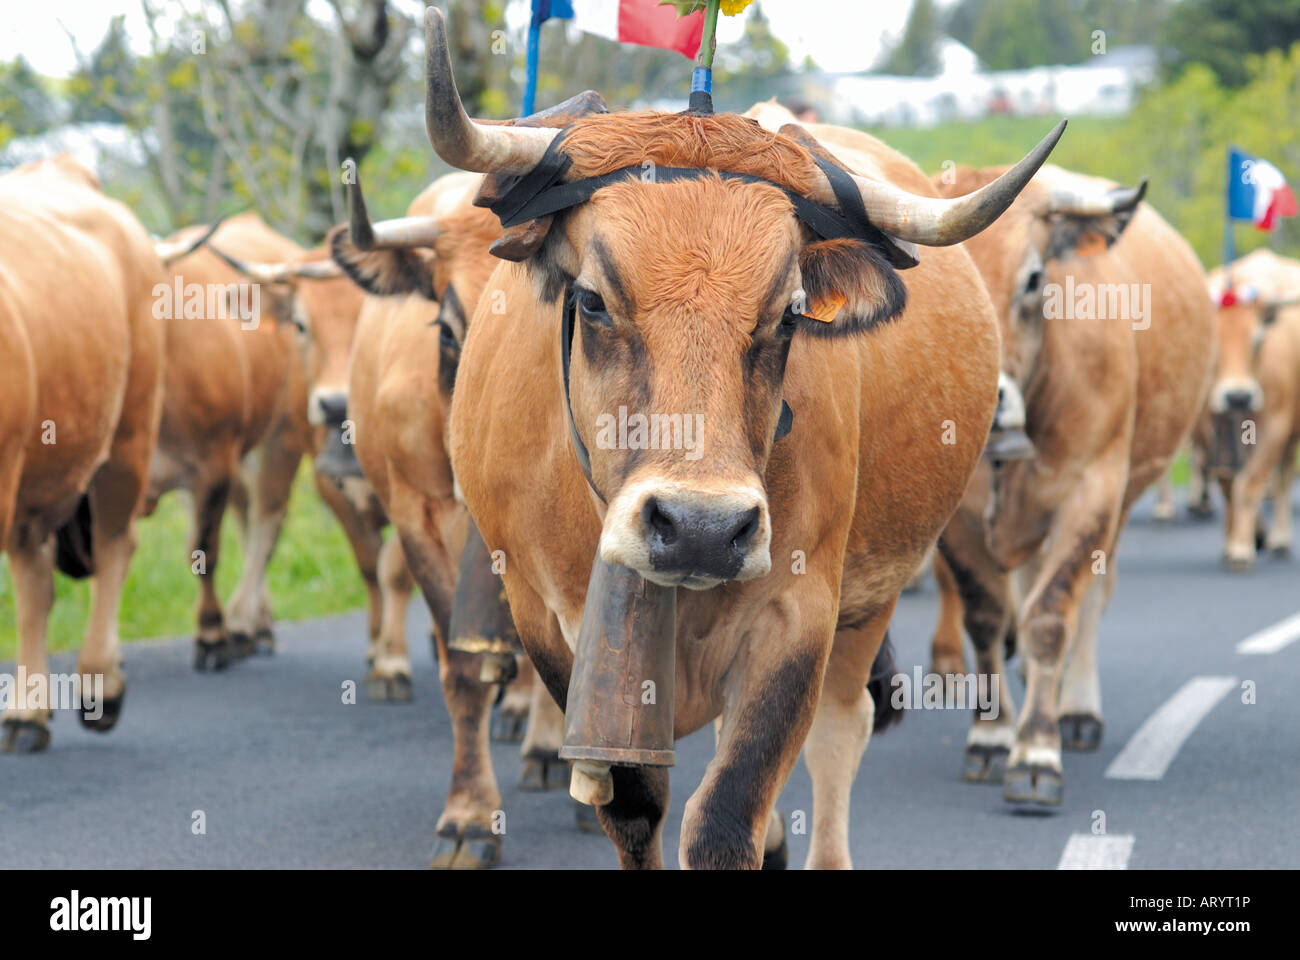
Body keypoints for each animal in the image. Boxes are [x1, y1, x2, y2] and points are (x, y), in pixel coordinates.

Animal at [419, 8, 1062, 867]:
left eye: (788, 315)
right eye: (592, 300)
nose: (700, 528)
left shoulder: (800, 615)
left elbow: (727, 813)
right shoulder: (544, 620)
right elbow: (634, 804)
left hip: (873, 598)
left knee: (839, 734)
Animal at [919, 163, 1215, 804]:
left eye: (1034, 279)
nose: (991, 403)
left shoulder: (1092, 490)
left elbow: (1052, 616)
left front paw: (1036, 751)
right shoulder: (956, 521)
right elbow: (987, 616)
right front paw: (992, 736)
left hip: (1120, 501)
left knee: (1088, 600)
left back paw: (1075, 710)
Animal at [1204, 249, 1300, 569]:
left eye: (1258, 340)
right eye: (1212, 343)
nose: (1238, 397)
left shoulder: (1276, 426)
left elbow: (1250, 485)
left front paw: (1241, 548)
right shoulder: (1208, 427)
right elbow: (1228, 483)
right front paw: (1236, 540)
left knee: (1281, 480)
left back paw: (1279, 538)